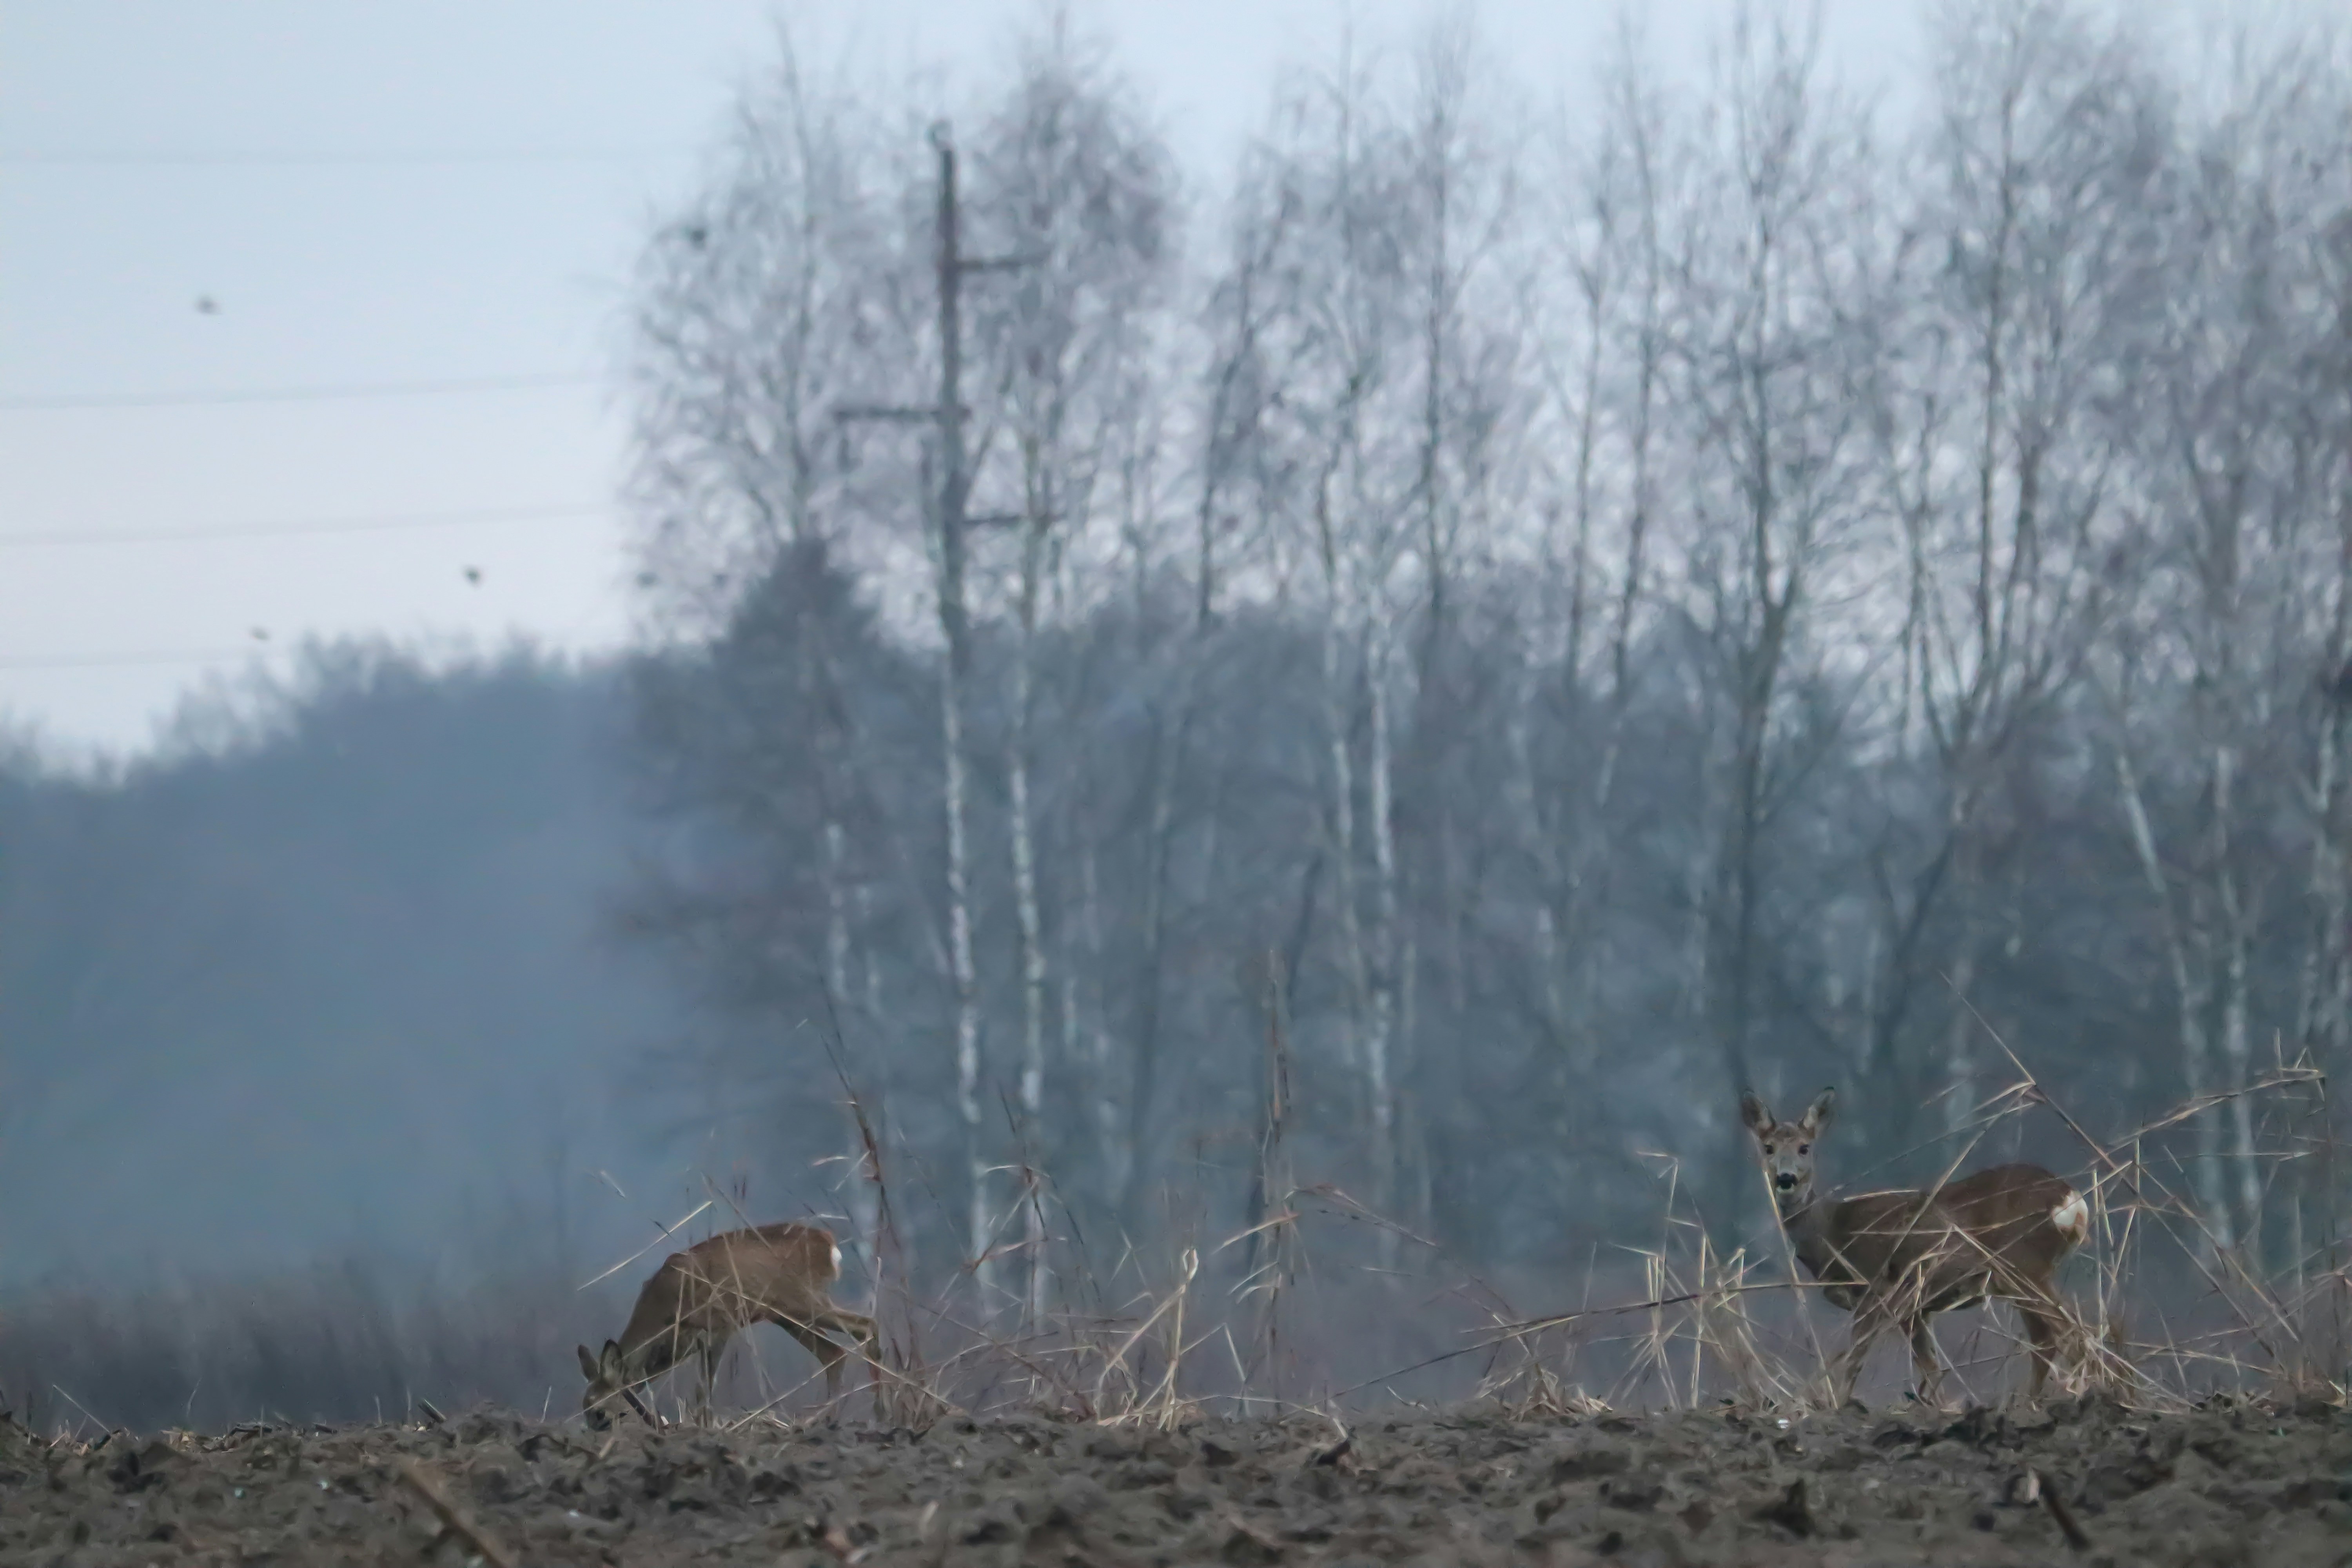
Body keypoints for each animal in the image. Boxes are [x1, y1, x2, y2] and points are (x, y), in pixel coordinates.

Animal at [576, 1220, 879, 1428]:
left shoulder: (719, 1326)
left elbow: (703, 1390)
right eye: (584, 1408)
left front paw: (705, 1428)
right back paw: (835, 1418)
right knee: (835, 1353)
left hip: (803, 1302)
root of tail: (829, 1245)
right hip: (787, 1316)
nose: (596, 1427)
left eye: (598, 1410)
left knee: (865, 1326)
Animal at [1739, 1087, 2090, 1409]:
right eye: (1769, 1148)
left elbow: (1854, 1362)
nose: (1785, 1179)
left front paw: (1839, 1407)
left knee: (2070, 1334)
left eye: (1804, 1148)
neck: (1832, 1233)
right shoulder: (1917, 1309)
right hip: (2023, 1276)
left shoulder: (1877, 1291)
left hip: (2024, 1265)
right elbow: (1932, 1369)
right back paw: (2030, 1401)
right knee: (2048, 1339)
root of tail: (2071, 1199)